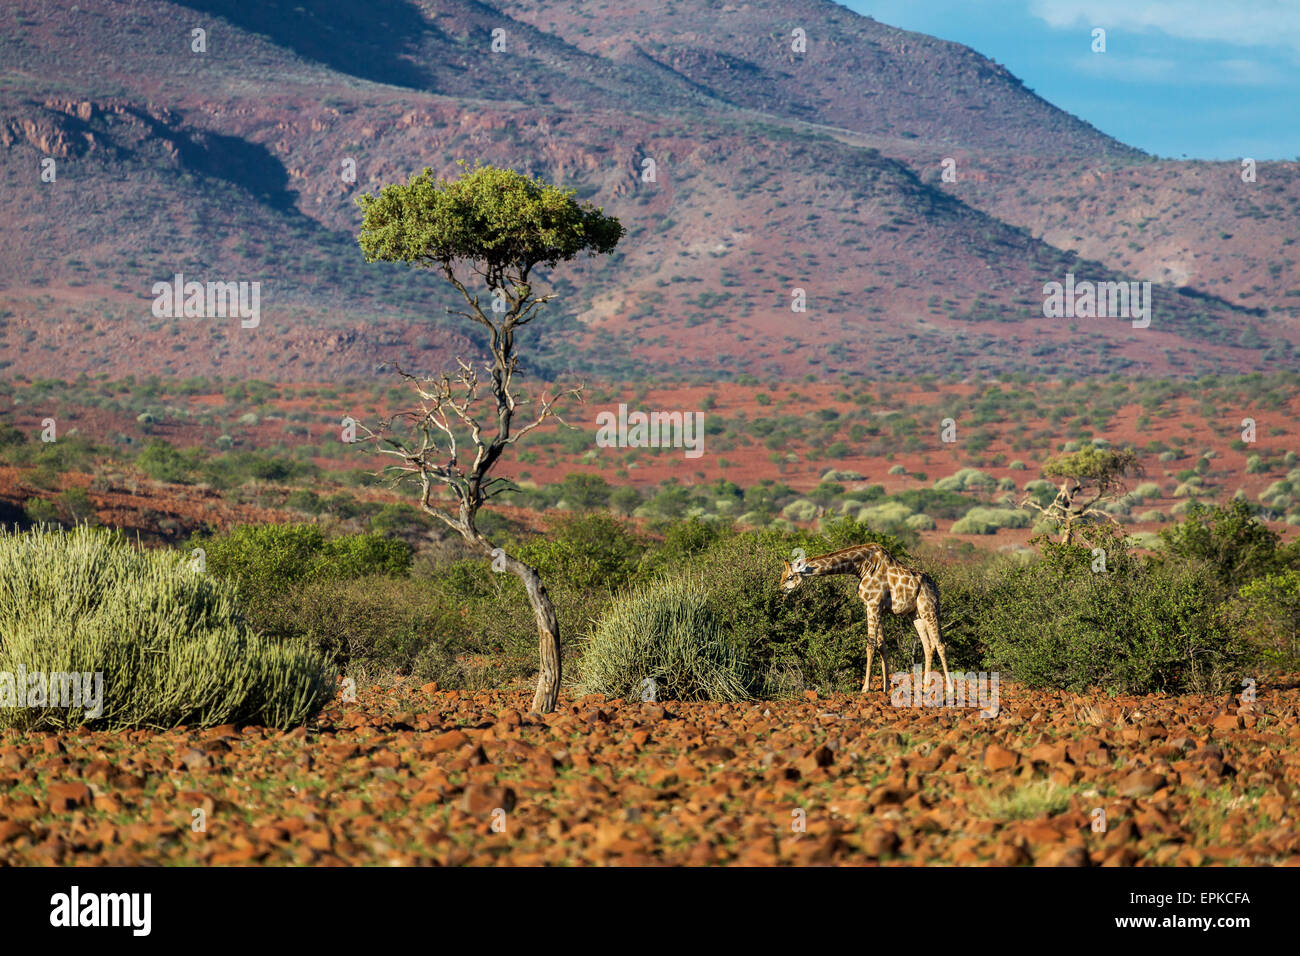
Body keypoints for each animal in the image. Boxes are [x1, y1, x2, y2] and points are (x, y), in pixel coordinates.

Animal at [779, 543, 951, 695]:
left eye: (790, 577)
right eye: (782, 576)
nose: (779, 590)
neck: (861, 567)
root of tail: (935, 587)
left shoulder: (873, 603)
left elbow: (871, 645)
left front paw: (865, 688)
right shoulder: (875, 606)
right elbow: (882, 645)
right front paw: (885, 687)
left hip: (930, 609)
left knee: (940, 644)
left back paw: (948, 689)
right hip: (916, 614)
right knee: (928, 645)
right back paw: (925, 688)